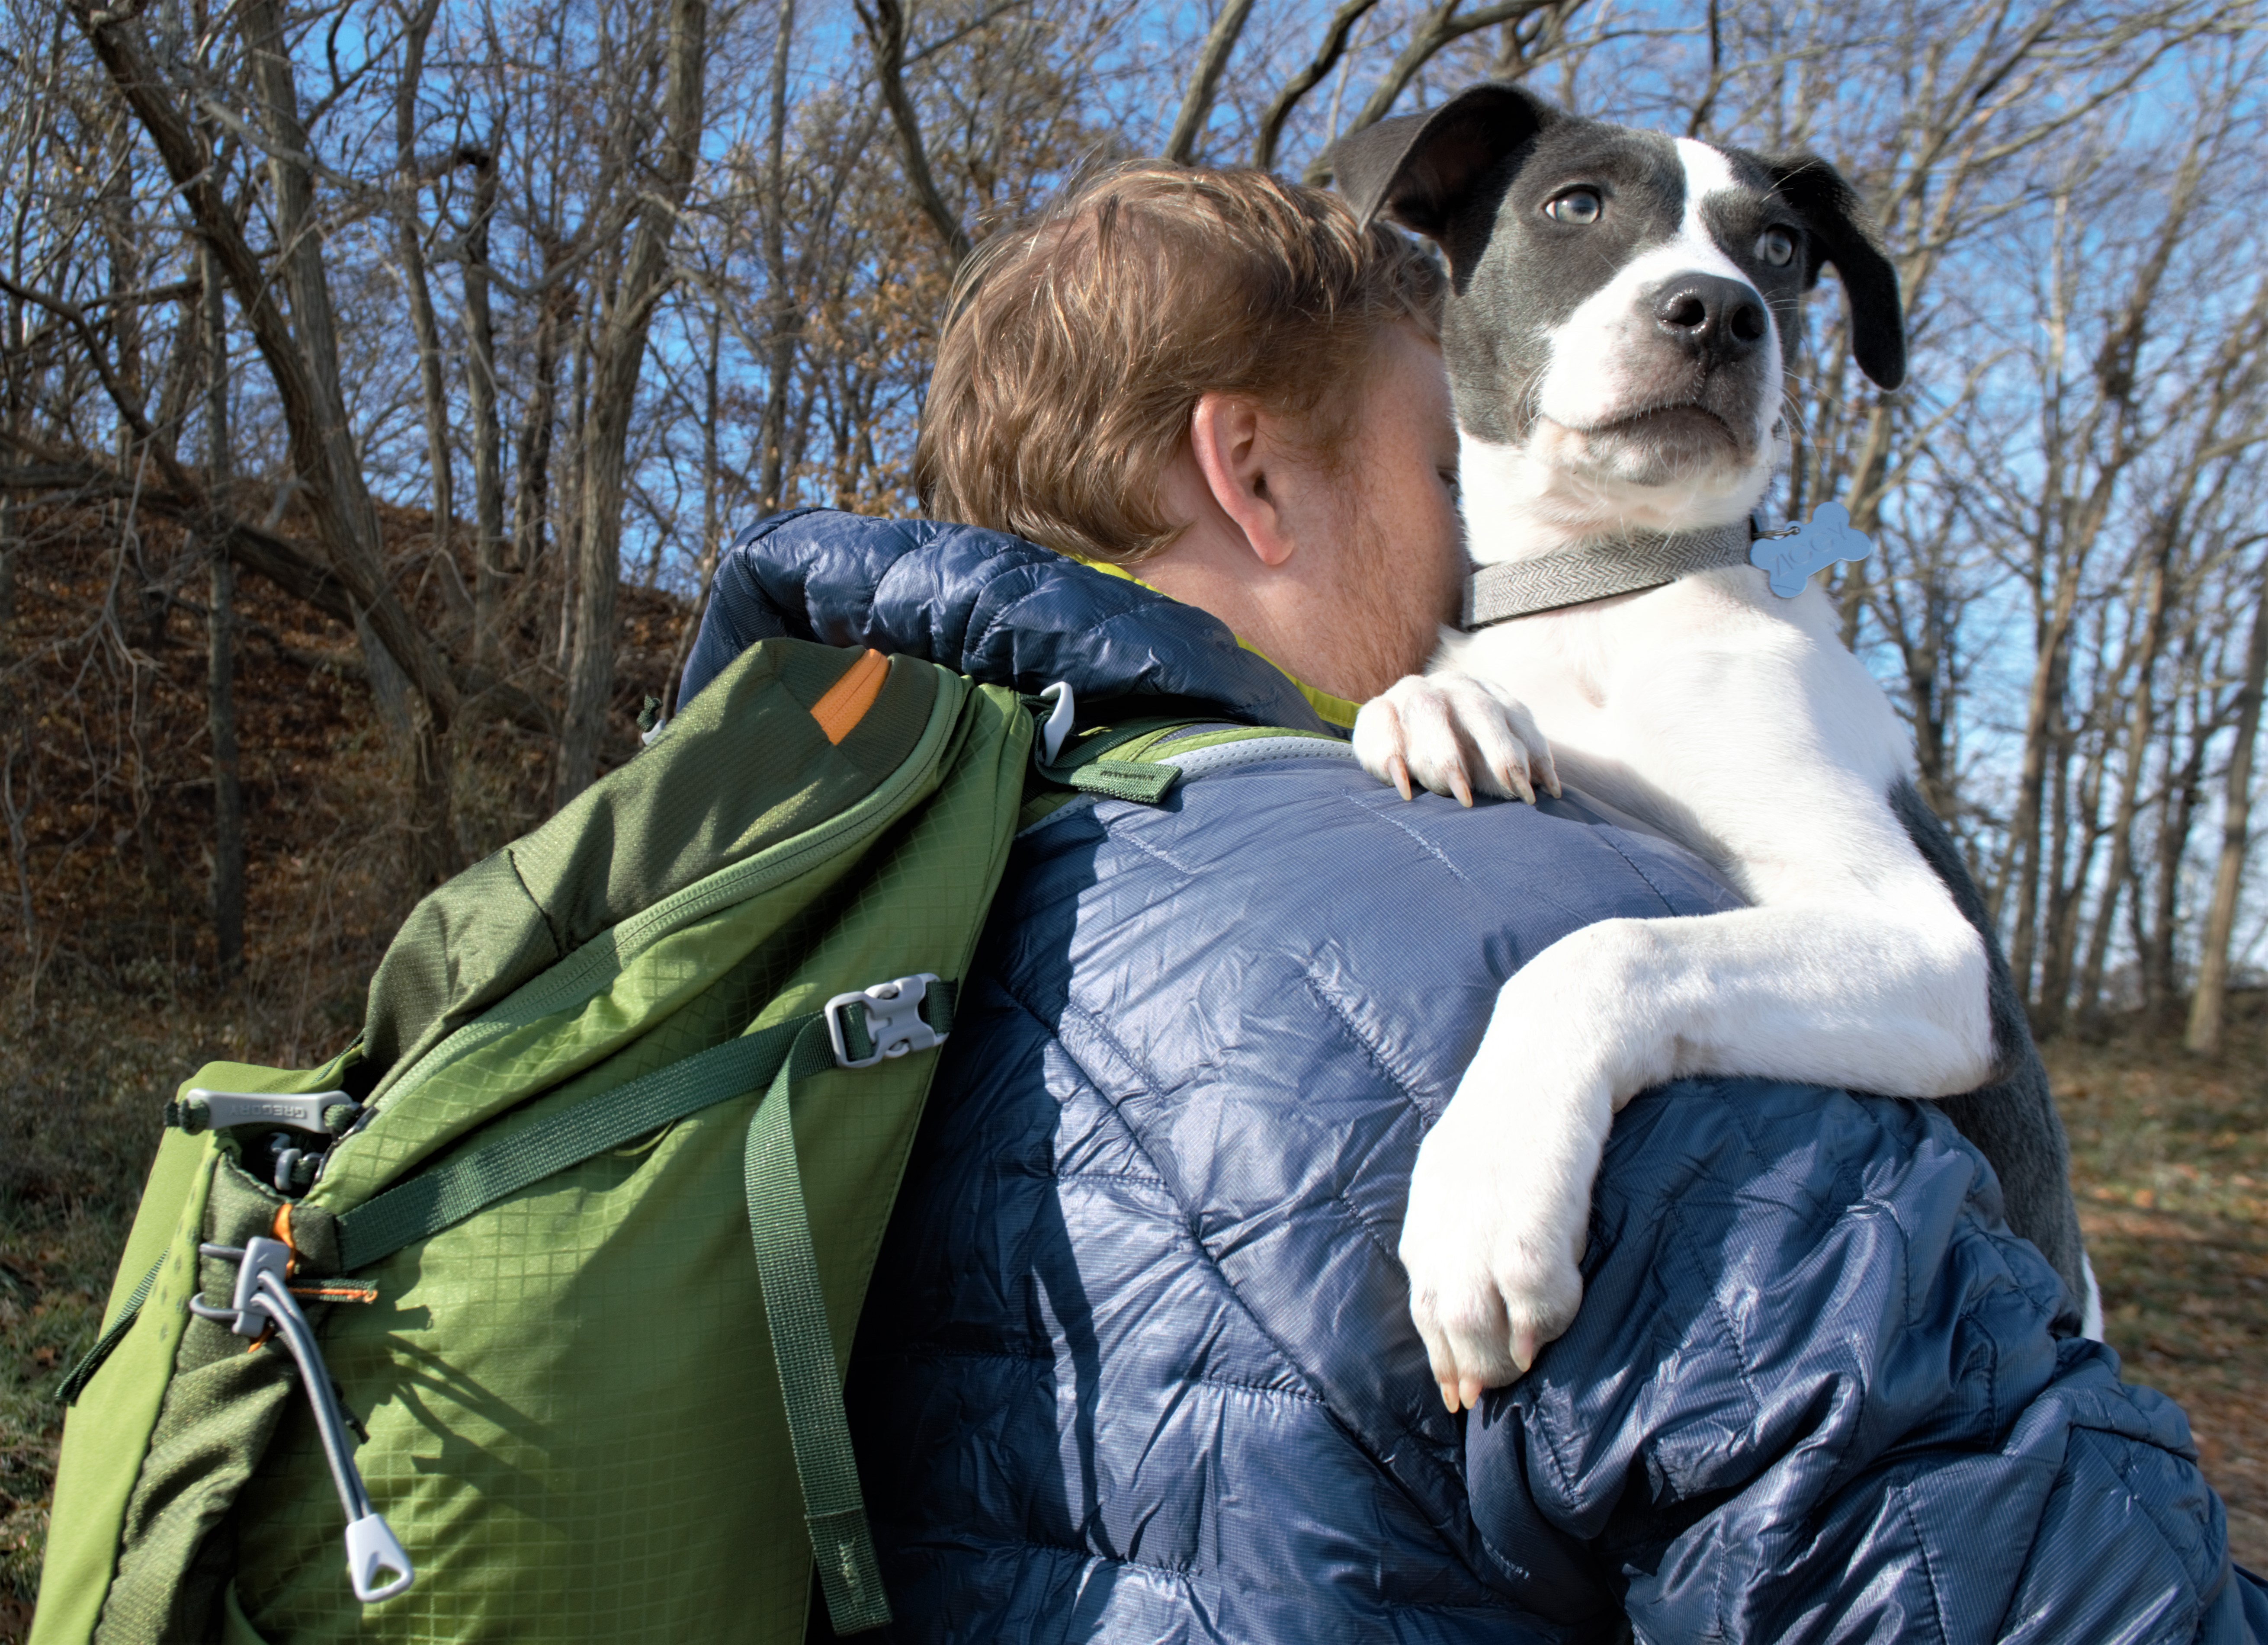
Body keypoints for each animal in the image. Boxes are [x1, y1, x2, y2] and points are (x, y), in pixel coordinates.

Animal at [1324, 83, 2086, 1407]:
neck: (1603, 588)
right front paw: (1440, 708)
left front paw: (1485, 1206)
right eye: (1576, 205)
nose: (1720, 313)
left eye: (1776, 248)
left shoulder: (1944, 962)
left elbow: (1608, 949)